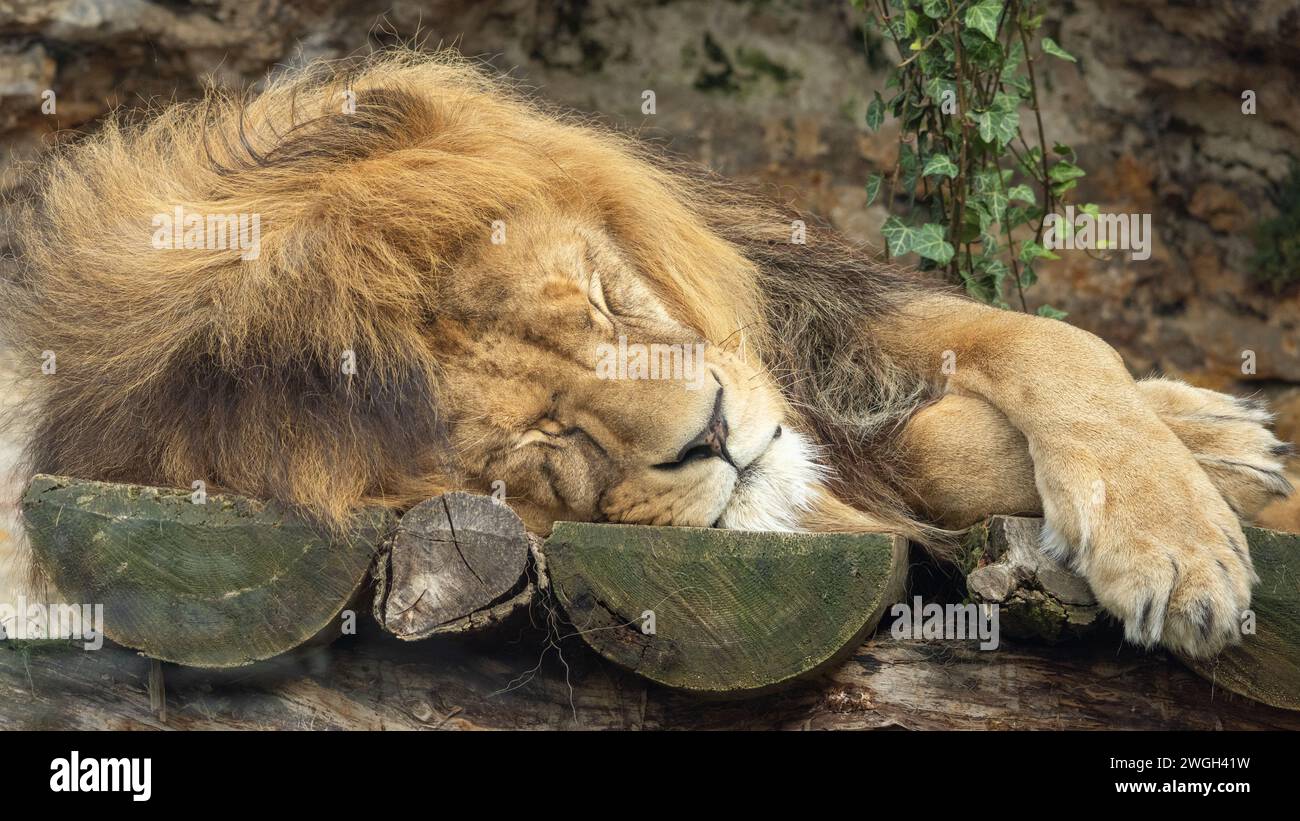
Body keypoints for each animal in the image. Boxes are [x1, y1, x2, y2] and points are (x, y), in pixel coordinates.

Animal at [0, 50, 1292, 659]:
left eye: (603, 300)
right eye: (538, 450)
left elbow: (1051, 343)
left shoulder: (808, 311)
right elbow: (921, 454)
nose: (715, 434)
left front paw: (1183, 522)